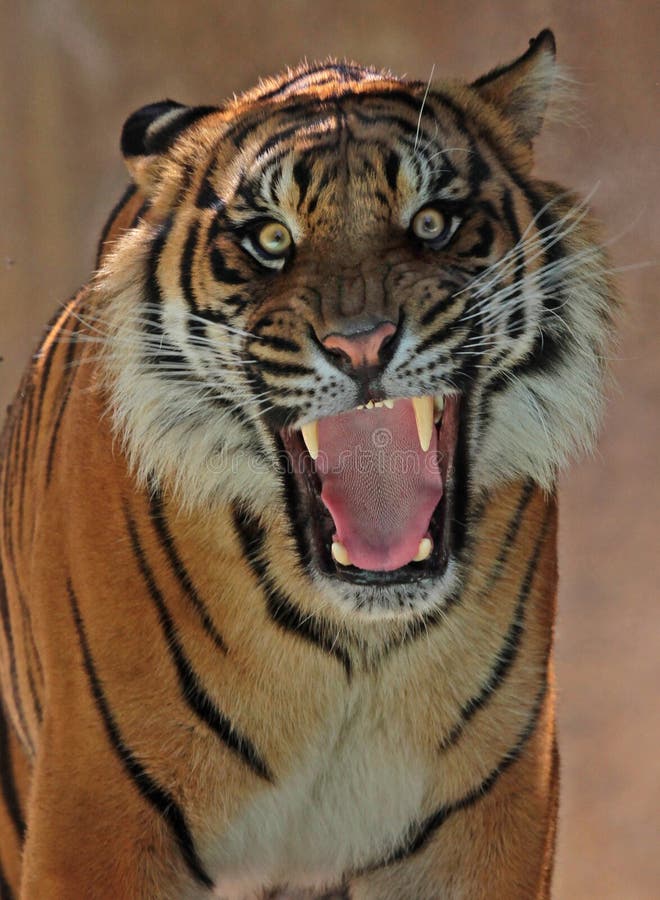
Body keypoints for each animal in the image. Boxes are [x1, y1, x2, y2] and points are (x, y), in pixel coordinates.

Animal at [0, 28, 615, 899]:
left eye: (432, 222)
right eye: (271, 240)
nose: (362, 344)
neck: (355, 647)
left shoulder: (484, 826)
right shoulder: (98, 820)